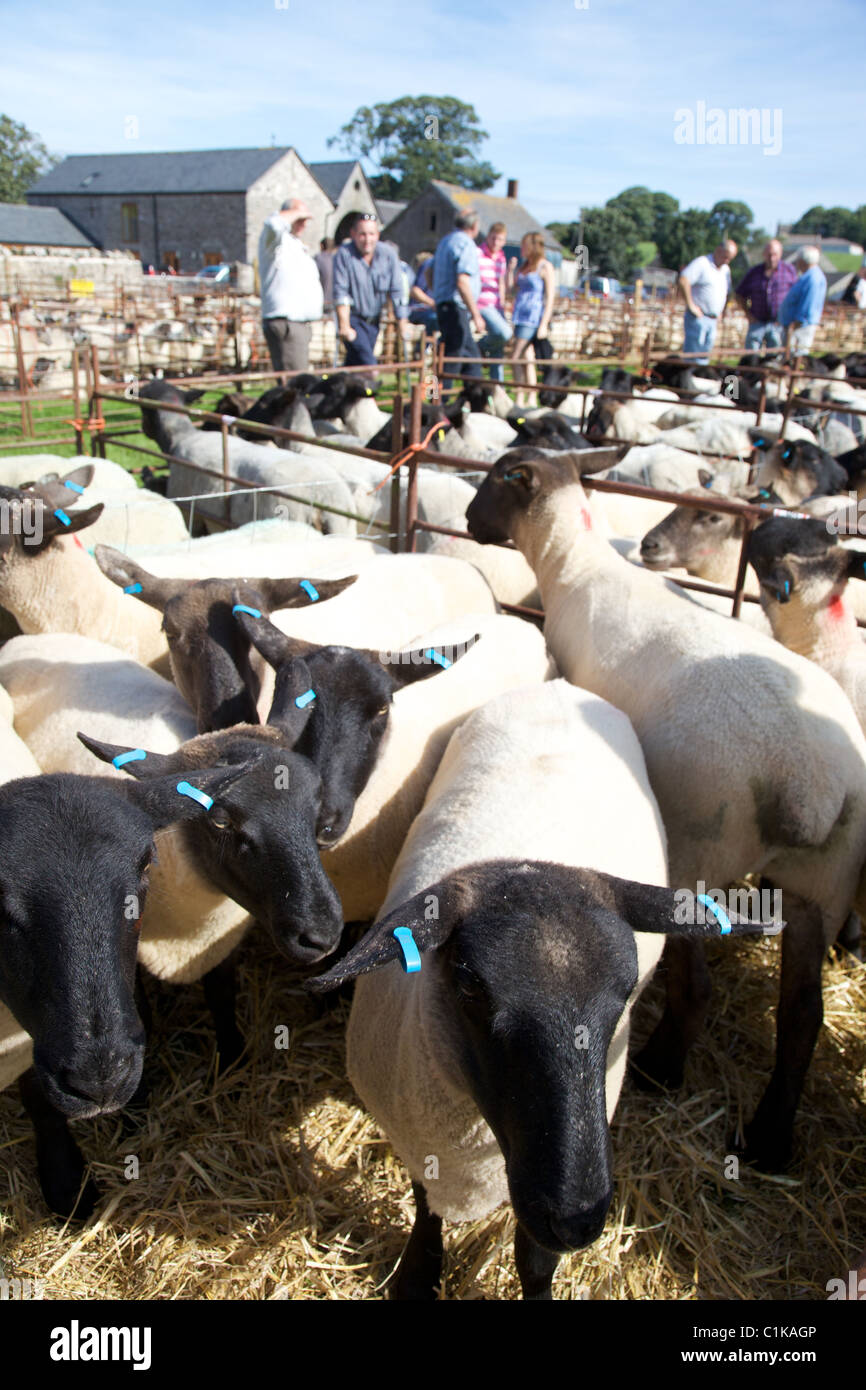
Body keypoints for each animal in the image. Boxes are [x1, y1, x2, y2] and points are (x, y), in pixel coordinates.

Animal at [308, 681, 772, 1299]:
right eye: (469, 984)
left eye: (628, 990)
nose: (577, 1220)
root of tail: (560, 686)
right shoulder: (418, 1136)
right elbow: (424, 1204)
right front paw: (417, 1274)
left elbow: (534, 1260)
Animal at [466, 446, 866, 1170]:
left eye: (495, 481)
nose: (464, 520)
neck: (573, 564)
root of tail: (811, 788)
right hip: (826, 879)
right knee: (802, 1016)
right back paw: (769, 1142)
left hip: (699, 844)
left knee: (700, 985)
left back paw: (664, 1066)